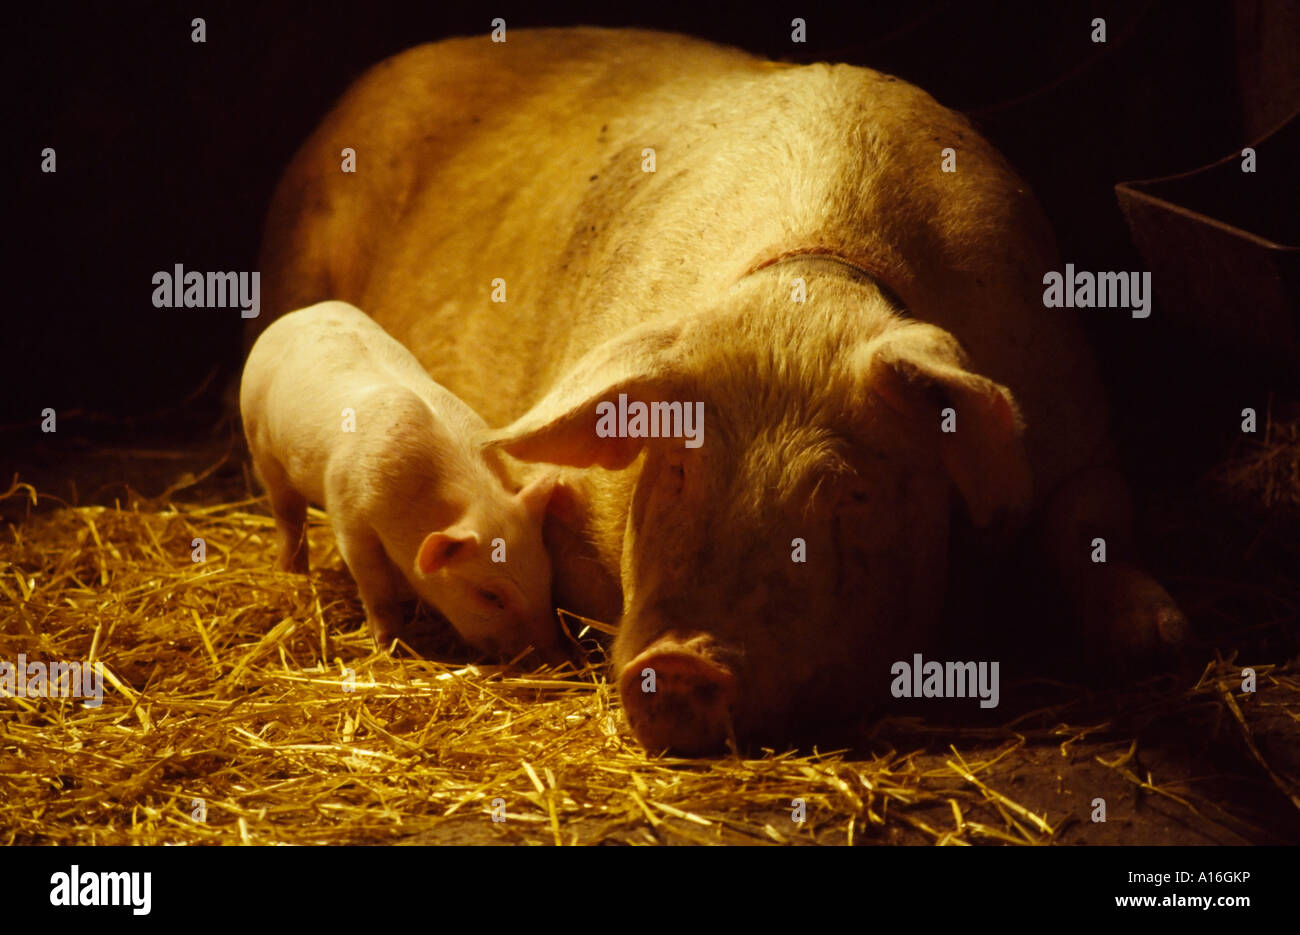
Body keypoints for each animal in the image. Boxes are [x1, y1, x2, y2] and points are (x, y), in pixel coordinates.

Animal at [240, 300, 563, 663]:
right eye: (490, 595)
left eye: (547, 574)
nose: (557, 655)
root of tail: (300, 312)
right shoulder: (349, 517)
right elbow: (376, 588)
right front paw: (388, 647)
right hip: (260, 444)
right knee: (286, 512)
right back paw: (292, 573)